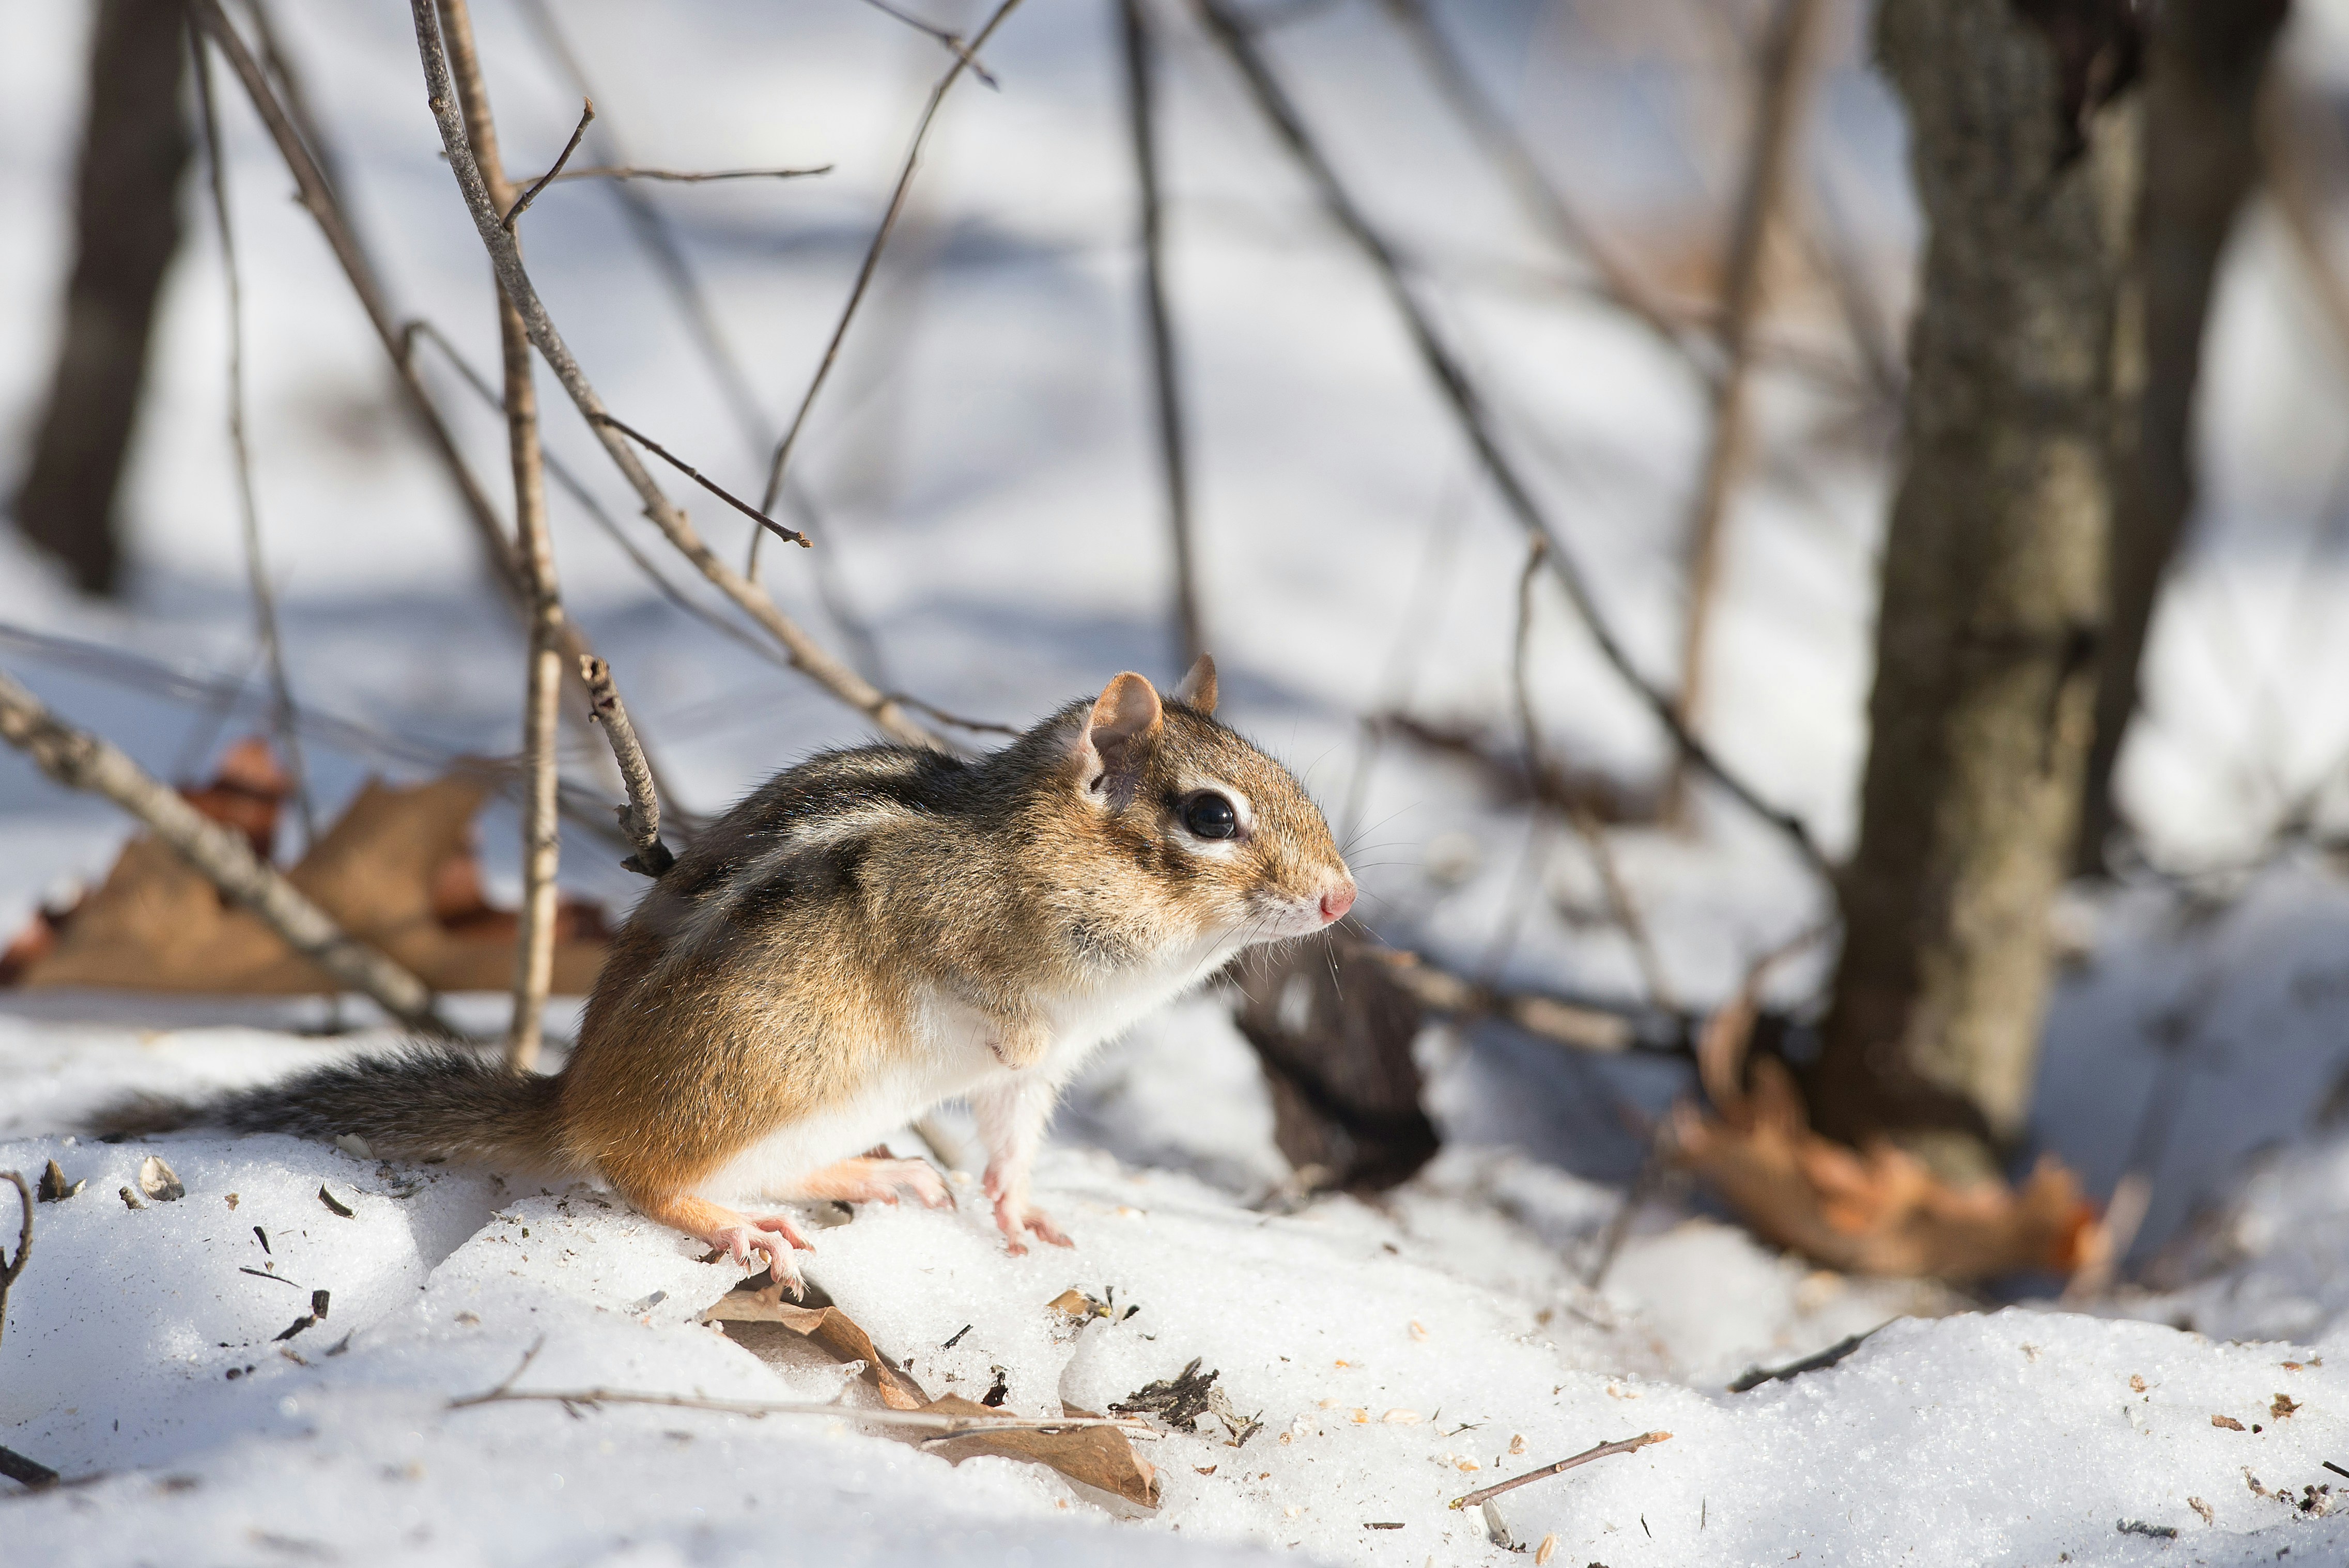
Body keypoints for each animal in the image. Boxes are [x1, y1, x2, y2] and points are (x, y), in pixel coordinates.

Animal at [97, 659, 1356, 1291]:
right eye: (1211, 816)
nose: (1343, 899)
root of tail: (571, 1100)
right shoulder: (956, 937)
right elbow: (989, 1021)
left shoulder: (1041, 1076)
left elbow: (1009, 1144)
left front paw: (1020, 1214)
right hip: (760, 1066)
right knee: (640, 1171)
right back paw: (735, 1224)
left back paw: (877, 1172)